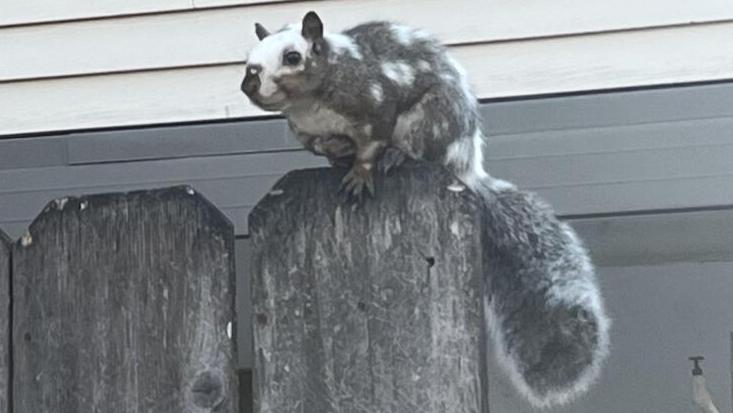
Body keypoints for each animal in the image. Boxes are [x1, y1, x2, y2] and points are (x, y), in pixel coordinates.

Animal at [241, 11, 610, 408]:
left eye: (293, 56)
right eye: (249, 59)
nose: (249, 84)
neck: (310, 105)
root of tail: (467, 168)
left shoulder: (375, 103)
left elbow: (370, 144)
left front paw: (360, 174)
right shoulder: (307, 132)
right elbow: (324, 146)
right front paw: (337, 153)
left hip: (429, 118)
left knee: (416, 149)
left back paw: (397, 155)